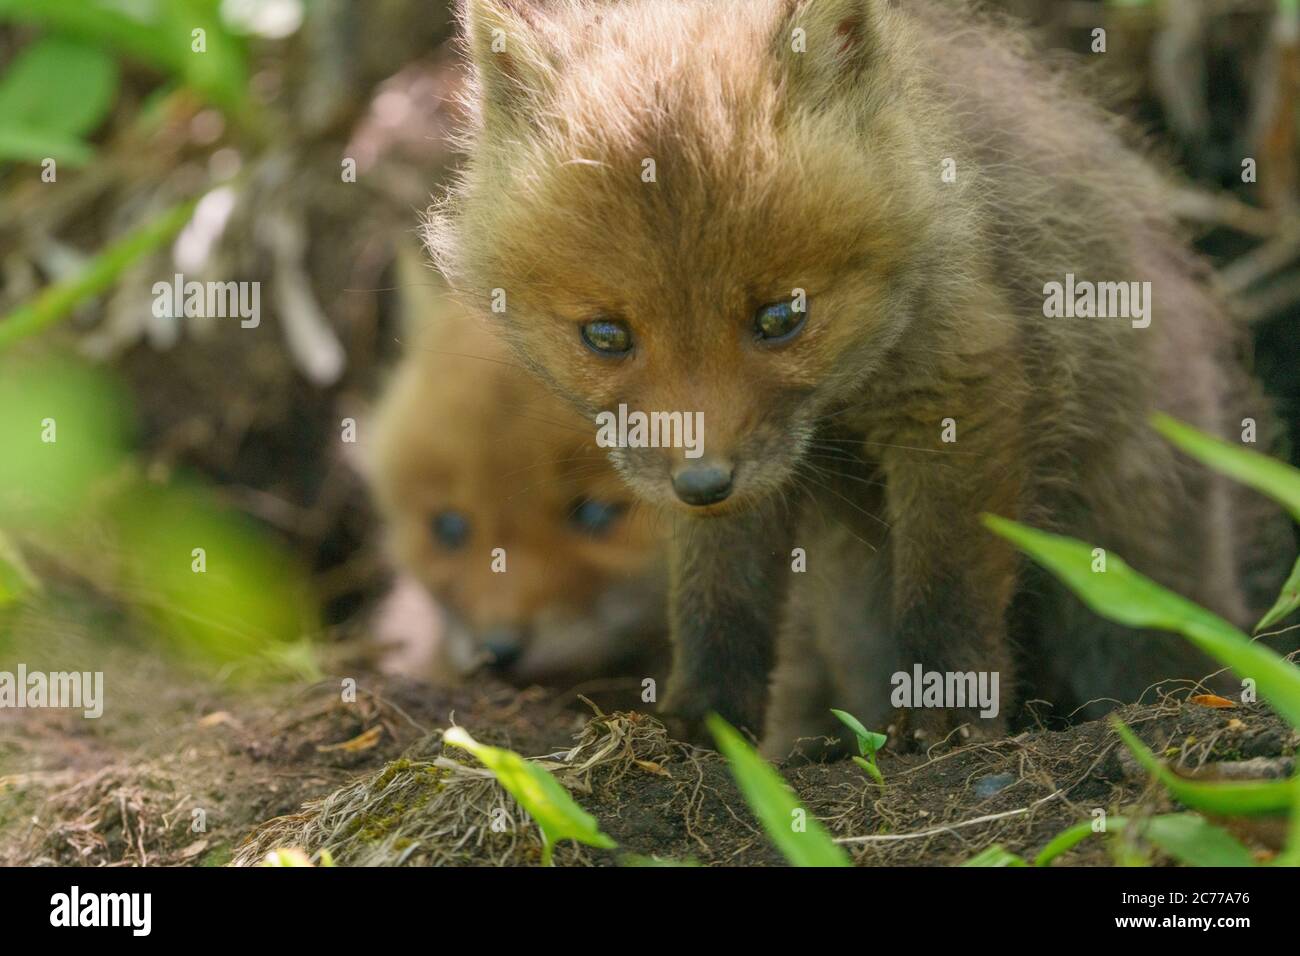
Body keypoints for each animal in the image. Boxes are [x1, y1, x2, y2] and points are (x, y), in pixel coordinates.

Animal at [426, 0, 1293, 756]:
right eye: (605, 336)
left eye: (782, 317)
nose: (704, 484)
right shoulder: (710, 469)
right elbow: (718, 602)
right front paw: (703, 727)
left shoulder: (958, 383)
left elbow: (948, 585)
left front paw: (946, 718)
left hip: (1122, 574)